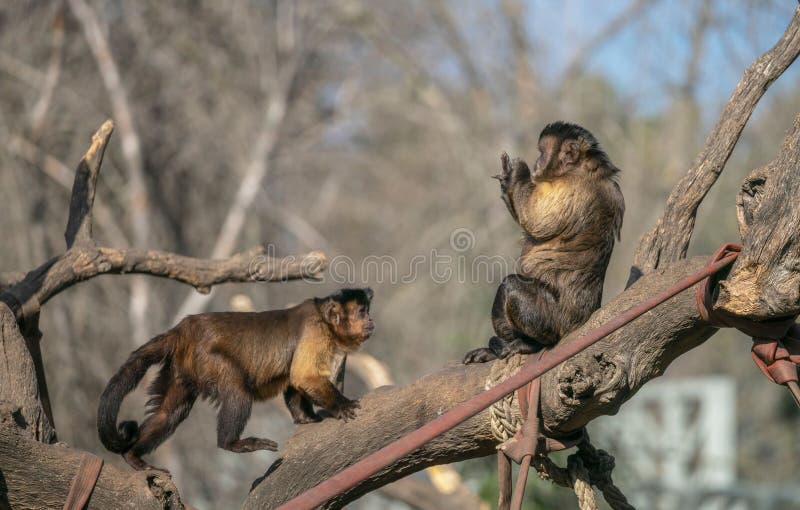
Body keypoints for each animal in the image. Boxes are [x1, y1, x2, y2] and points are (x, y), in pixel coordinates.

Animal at [97, 288, 375, 472]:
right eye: (362, 312)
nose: (371, 320)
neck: (327, 323)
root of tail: (183, 329)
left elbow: (294, 381)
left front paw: (305, 418)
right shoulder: (315, 332)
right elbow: (302, 375)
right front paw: (342, 405)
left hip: (182, 367)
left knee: (170, 413)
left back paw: (133, 455)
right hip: (207, 358)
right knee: (238, 391)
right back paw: (231, 443)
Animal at [464, 122, 624, 364]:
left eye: (541, 152)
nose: (536, 162)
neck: (583, 169)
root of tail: (581, 320)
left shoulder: (571, 187)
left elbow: (534, 221)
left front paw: (513, 175)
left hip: (555, 320)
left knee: (511, 285)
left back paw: (532, 344)